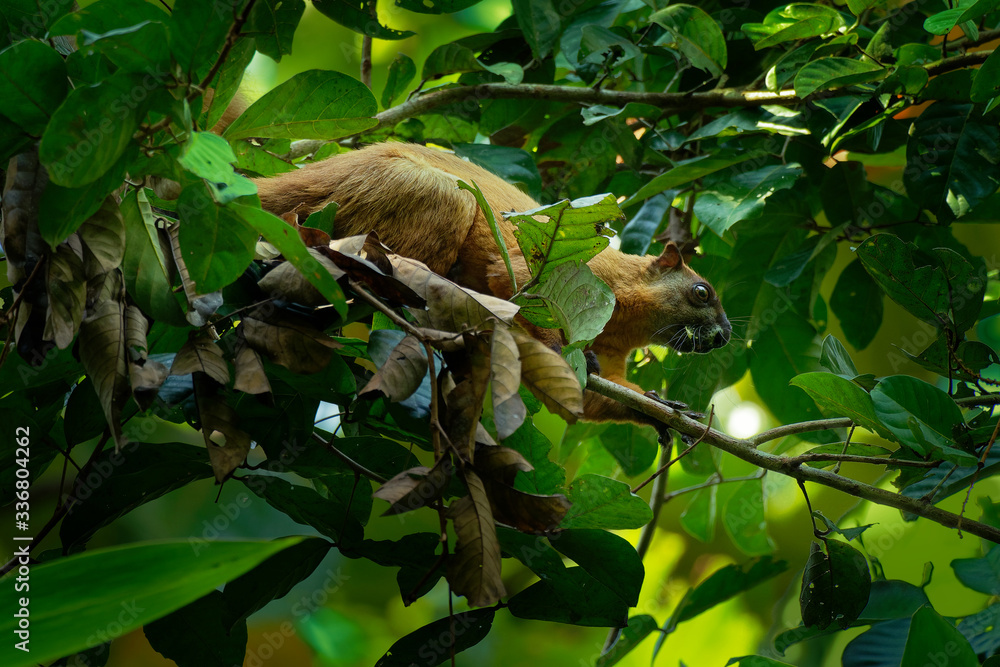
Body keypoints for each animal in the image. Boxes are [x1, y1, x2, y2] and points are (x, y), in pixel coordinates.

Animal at [253, 142, 731, 424]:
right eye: (702, 292)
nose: (726, 336)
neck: (623, 323)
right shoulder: (563, 273)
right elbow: (517, 290)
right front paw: (556, 348)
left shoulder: (614, 358)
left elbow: (590, 398)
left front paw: (660, 408)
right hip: (439, 197)